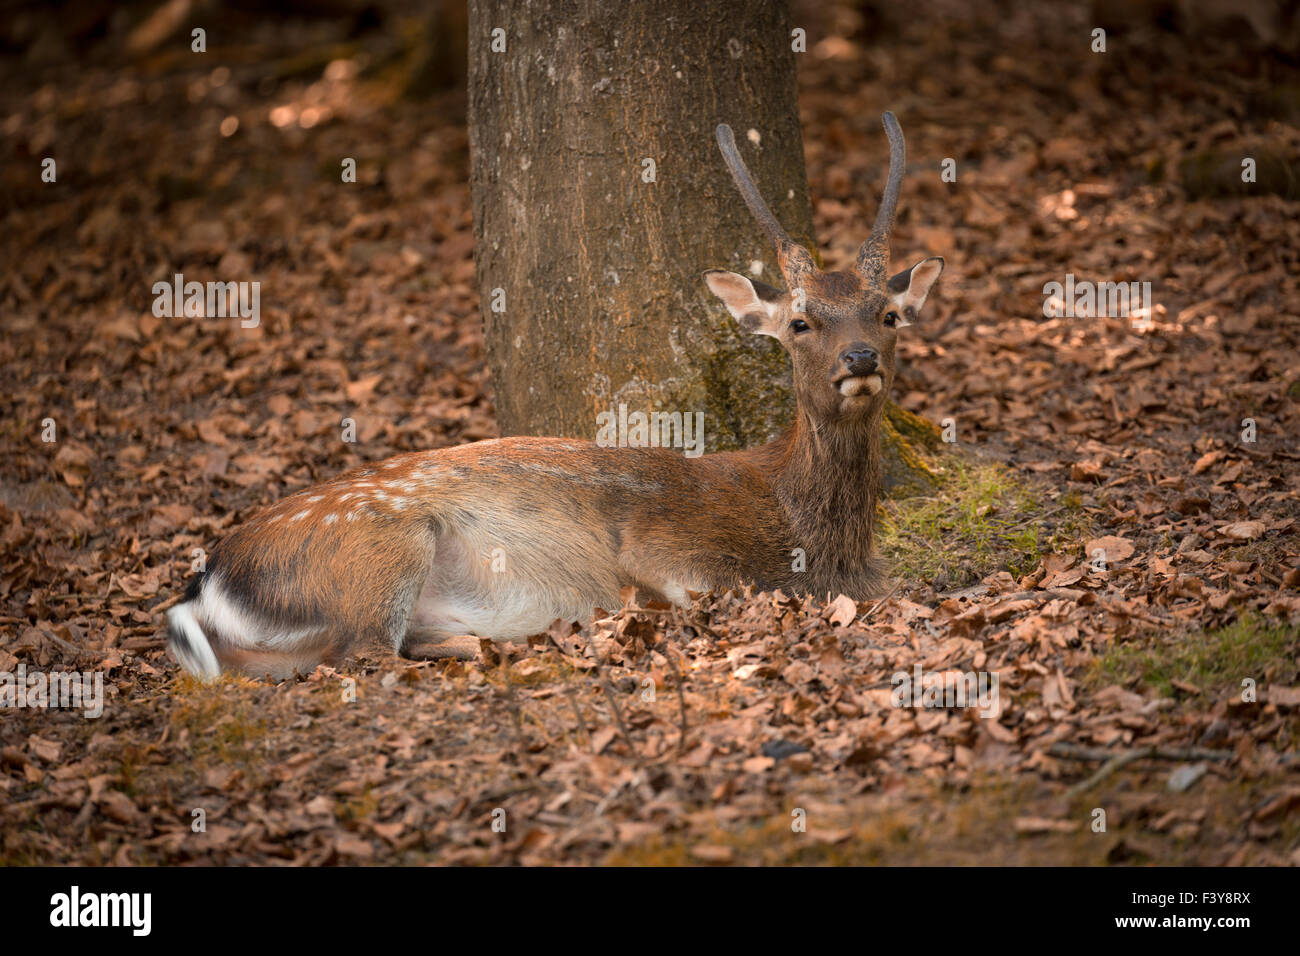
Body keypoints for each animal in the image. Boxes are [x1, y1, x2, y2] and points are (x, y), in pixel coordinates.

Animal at [166, 112, 944, 680]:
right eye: (801, 322)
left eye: (888, 314)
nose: (859, 357)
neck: (808, 536)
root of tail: (203, 587)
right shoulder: (666, 550)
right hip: (381, 547)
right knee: (363, 655)